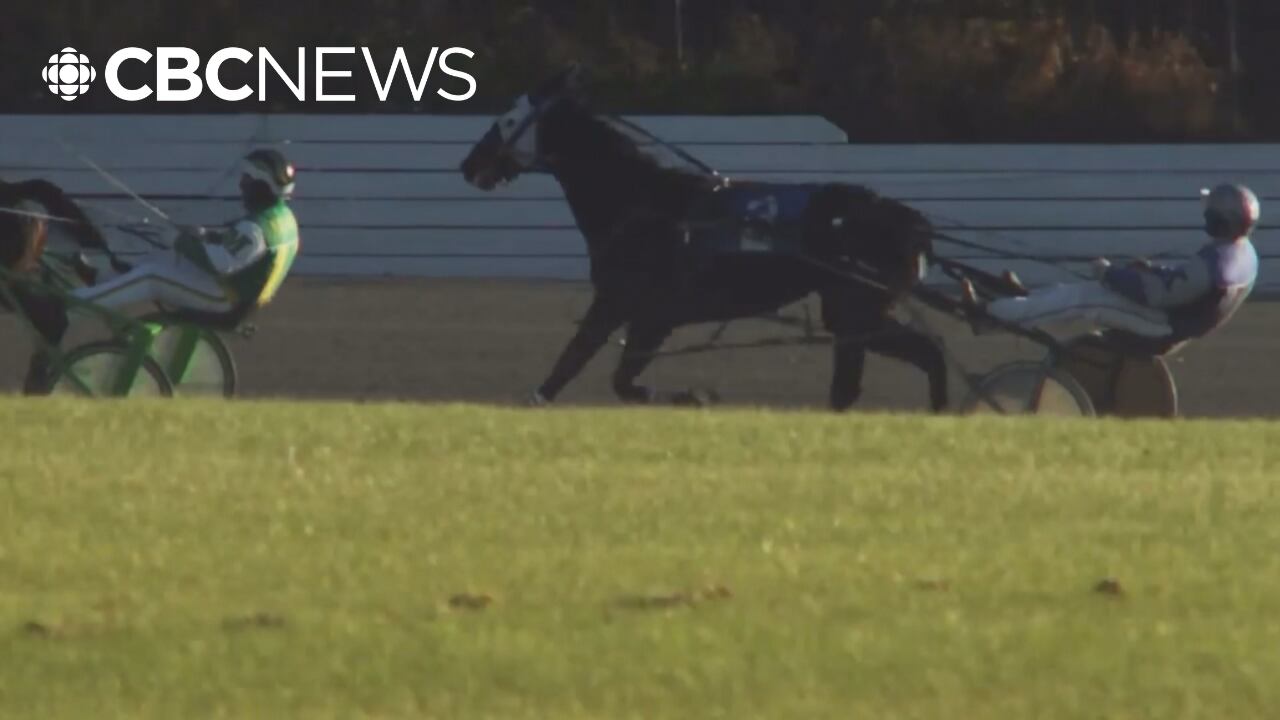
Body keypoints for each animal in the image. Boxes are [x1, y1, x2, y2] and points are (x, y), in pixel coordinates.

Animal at [460, 65, 948, 412]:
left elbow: (587, 364)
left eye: (507, 119)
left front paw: (691, 396)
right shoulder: (642, 313)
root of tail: (906, 220)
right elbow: (606, 373)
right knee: (901, 362)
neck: (641, 200)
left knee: (898, 362)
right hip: (855, 313)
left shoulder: (628, 306)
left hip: (855, 308)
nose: (469, 165)